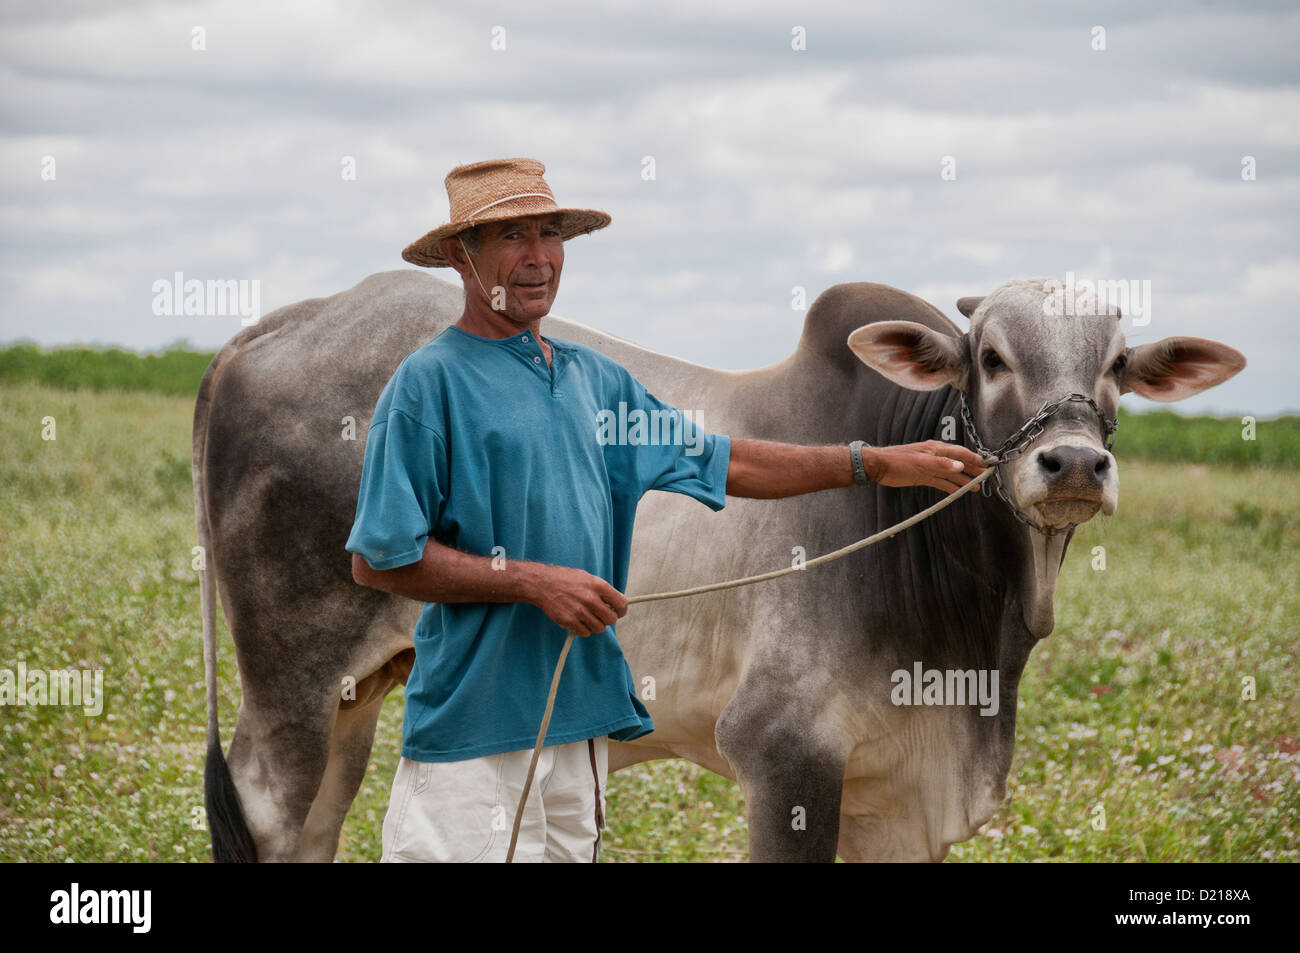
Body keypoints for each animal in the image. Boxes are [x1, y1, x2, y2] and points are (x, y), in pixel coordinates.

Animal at [193, 270, 1245, 861]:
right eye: (989, 357)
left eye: (1116, 365)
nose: (1072, 464)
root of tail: (272, 328)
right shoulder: (786, 755)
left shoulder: (896, 791)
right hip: (290, 681)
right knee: (271, 811)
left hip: (361, 689)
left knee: (321, 819)